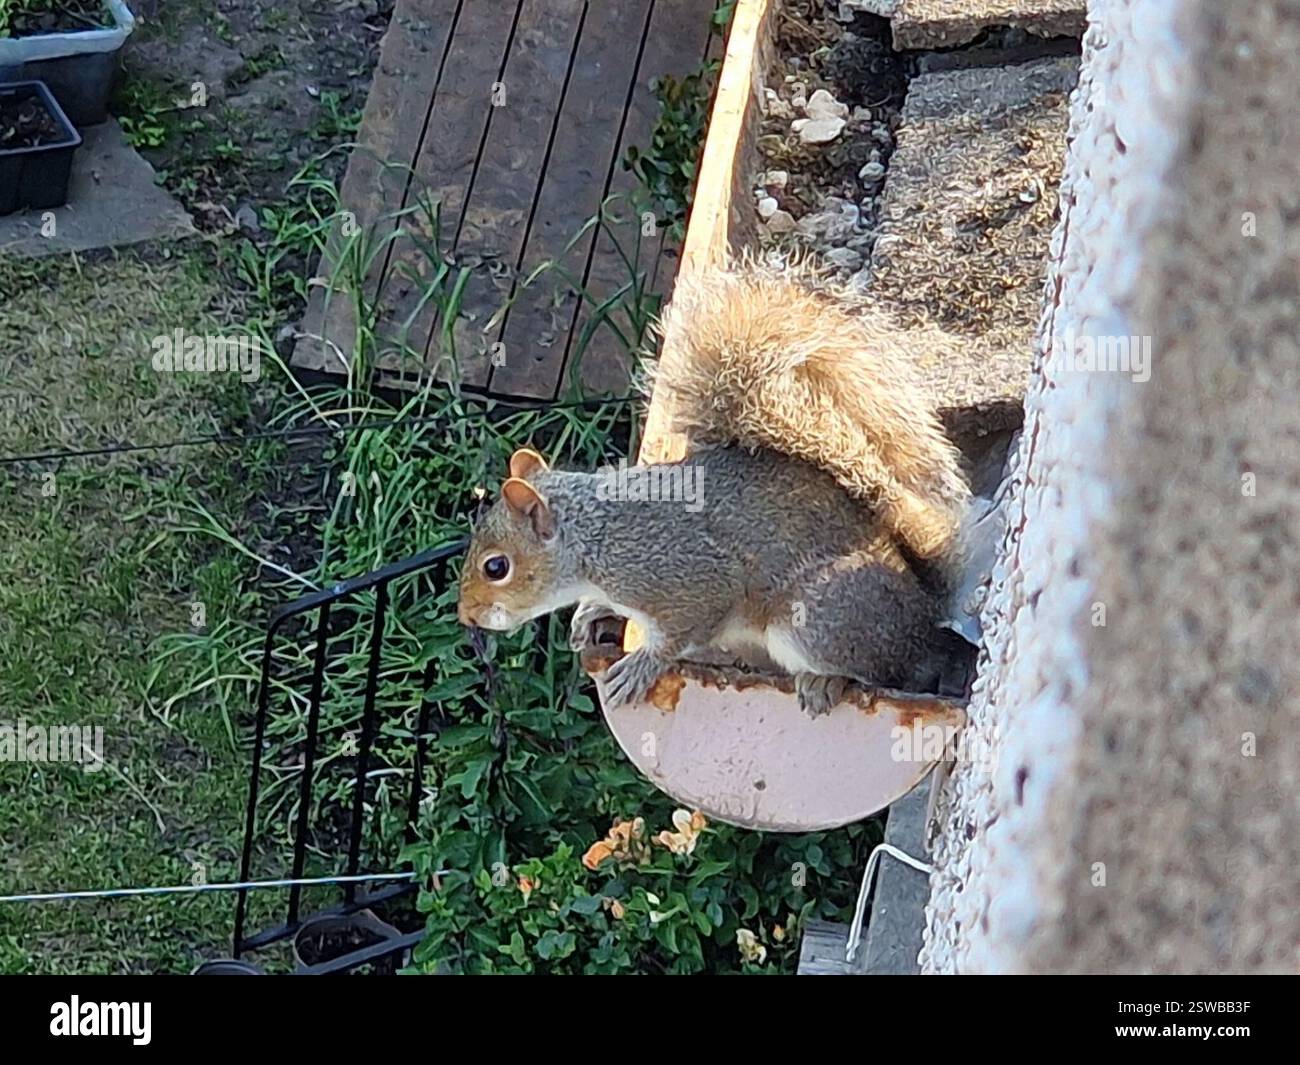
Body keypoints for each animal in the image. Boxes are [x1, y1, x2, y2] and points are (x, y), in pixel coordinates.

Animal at [458, 263, 975, 716]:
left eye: (496, 567)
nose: (467, 616)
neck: (596, 541)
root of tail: (924, 616)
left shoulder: (688, 582)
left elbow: (682, 633)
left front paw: (640, 667)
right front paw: (587, 612)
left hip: (817, 619)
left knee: (887, 670)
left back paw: (825, 681)